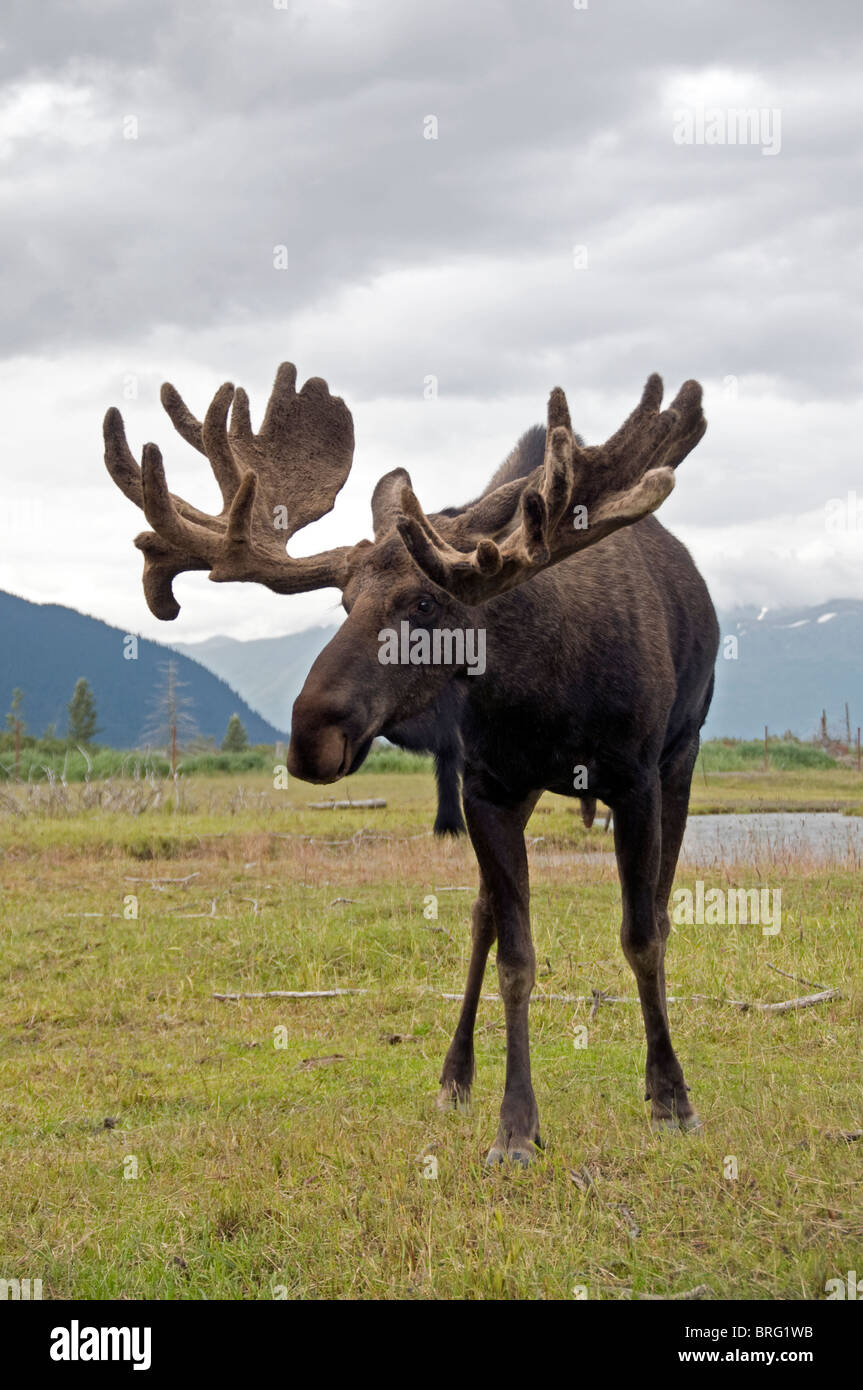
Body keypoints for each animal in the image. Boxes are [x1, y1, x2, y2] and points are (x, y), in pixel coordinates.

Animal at [103, 362, 718, 1165]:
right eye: (343, 602)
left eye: (425, 604)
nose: (308, 737)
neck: (546, 682)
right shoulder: (485, 787)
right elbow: (515, 956)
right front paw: (515, 1125)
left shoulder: (638, 779)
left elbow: (642, 935)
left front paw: (671, 1095)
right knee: (483, 919)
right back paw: (456, 1074)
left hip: (681, 756)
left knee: (657, 909)